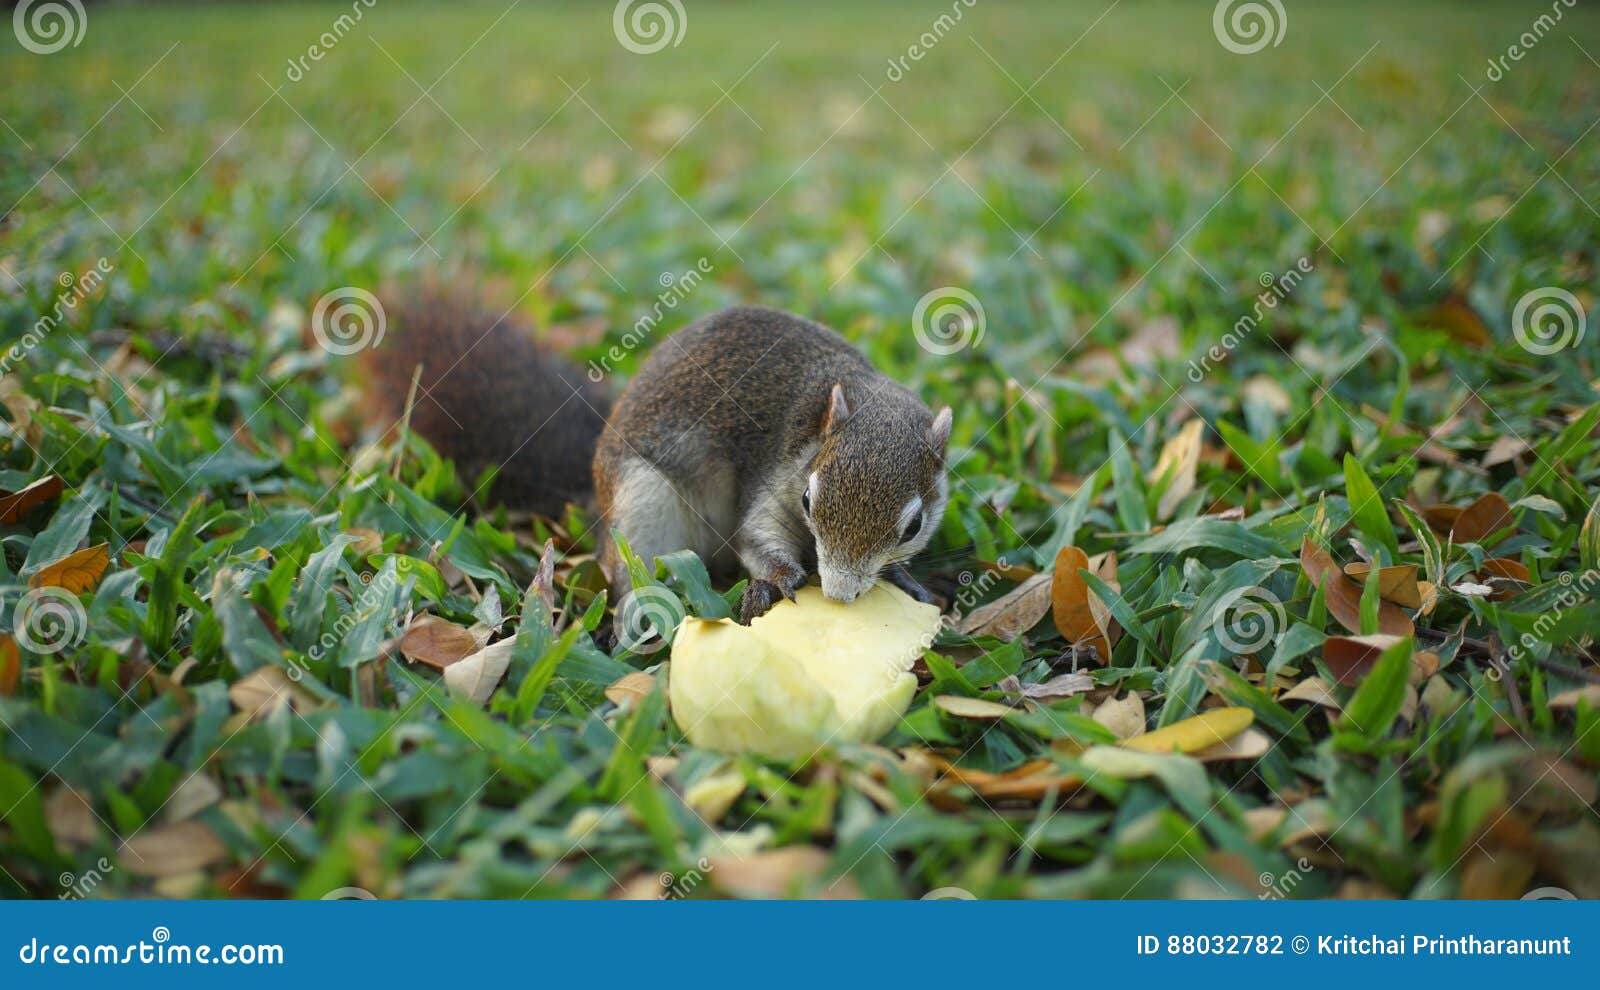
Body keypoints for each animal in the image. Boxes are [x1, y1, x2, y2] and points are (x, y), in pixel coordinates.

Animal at [363, 294, 951, 624]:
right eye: (808, 499)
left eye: (913, 526)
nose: (838, 593)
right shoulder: (774, 476)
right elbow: (756, 537)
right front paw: (781, 578)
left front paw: (906, 578)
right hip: (645, 504)